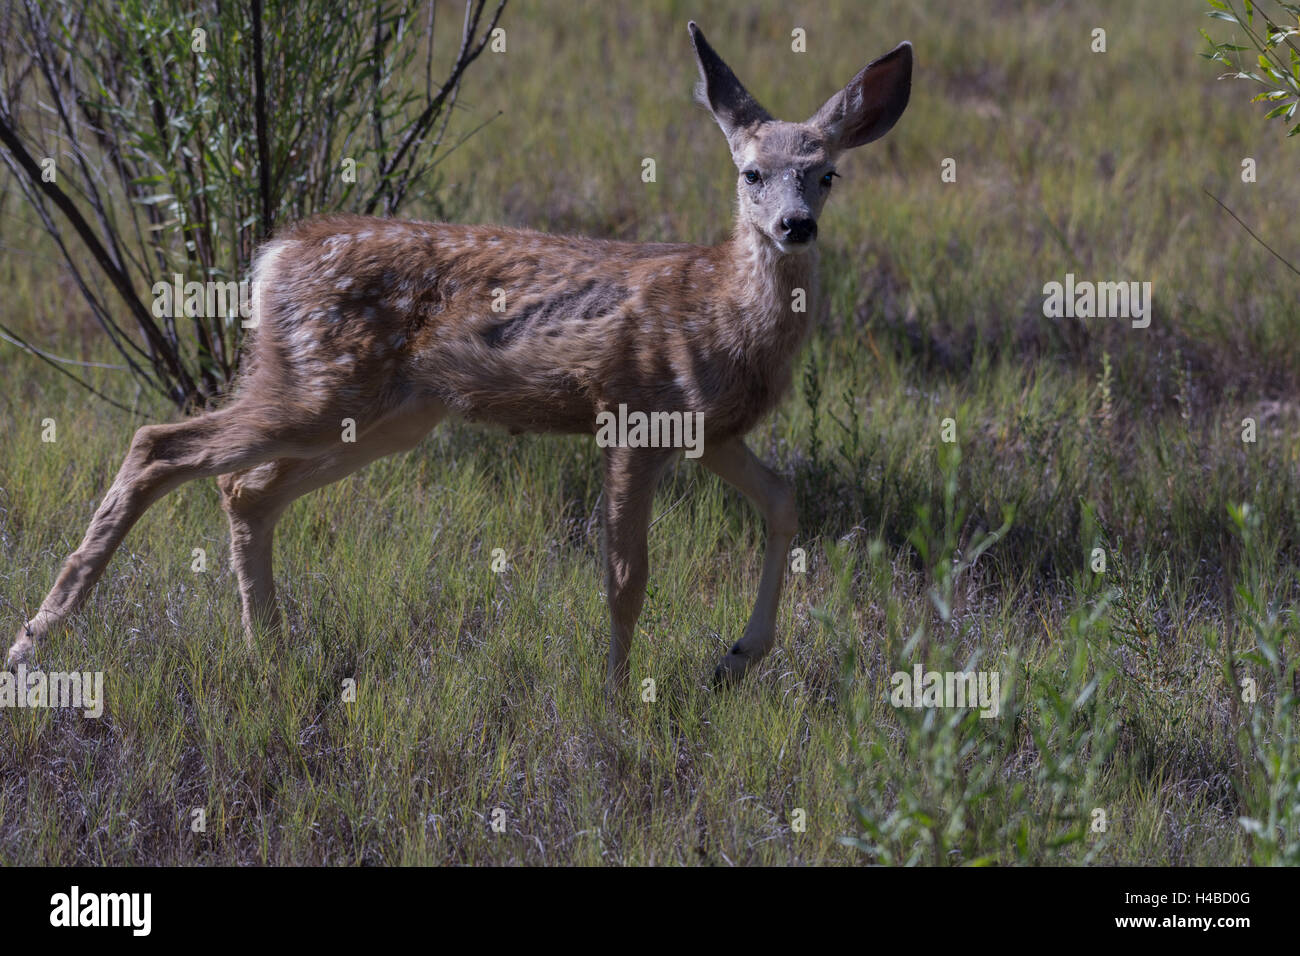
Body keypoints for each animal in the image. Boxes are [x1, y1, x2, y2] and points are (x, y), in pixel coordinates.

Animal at [6, 22, 912, 694]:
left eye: (826, 175)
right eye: (751, 173)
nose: (795, 226)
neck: (721, 308)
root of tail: (271, 255)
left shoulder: (714, 433)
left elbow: (785, 502)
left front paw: (737, 658)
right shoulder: (631, 412)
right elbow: (626, 573)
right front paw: (618, 700)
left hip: (388, 413)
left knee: (246, 490)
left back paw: (270, 652)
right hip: (322, 387)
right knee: (160, 445)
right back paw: (37, 638)